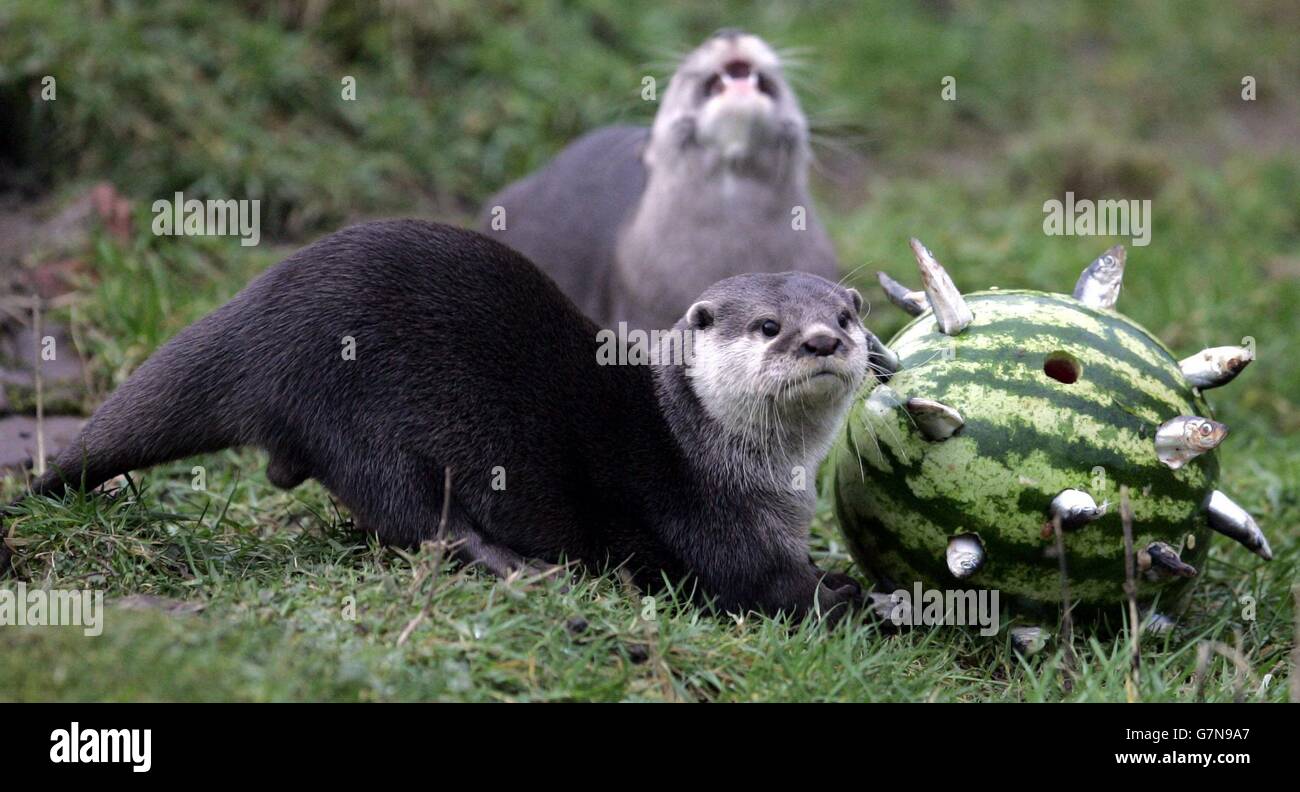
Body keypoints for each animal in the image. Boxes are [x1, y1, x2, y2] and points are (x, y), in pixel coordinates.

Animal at [2, 220, 877, 619]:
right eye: (767, 325)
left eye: (847, 310)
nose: (823, 339)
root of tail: (259, 319)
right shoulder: (702, 516)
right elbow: (760, 586)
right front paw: (861, 597)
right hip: (363, 419)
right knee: (417, 520)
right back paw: (516, 564)